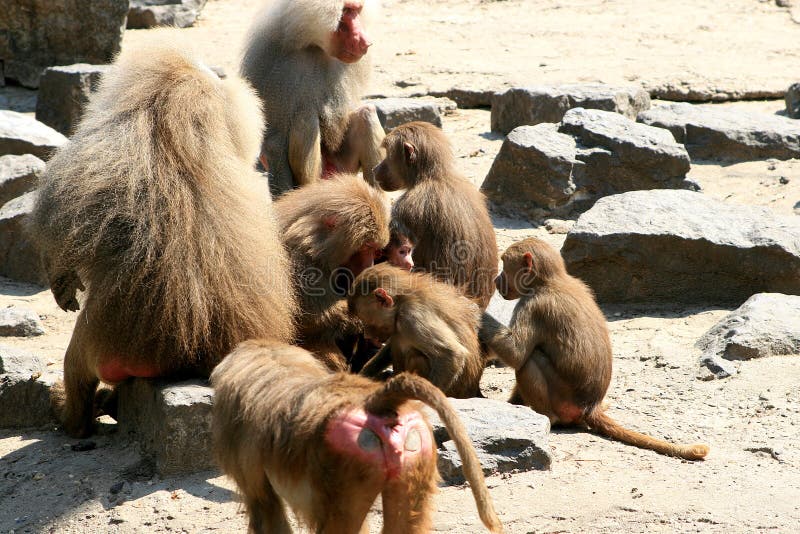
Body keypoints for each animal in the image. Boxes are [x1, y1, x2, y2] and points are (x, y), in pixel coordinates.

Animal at [27, 44, 297, 438]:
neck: (169, 128)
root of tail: (189, 348)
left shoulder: (84, 157)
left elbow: (57, 230)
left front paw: (62, 285)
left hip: (101, 342)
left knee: (76, 367)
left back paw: (72, 415)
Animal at [241, 0, 385, 196]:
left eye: (357, 10)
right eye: (346, 11)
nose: (366, 42)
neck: (315, 46)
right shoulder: (269, 60)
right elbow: (274, 141)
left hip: (343, 168)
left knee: (366, 113)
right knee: (306, 118)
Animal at [348, 264, 486, 398]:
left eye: (365, 321)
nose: (367, 336)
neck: (402, 301)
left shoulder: (411, 316)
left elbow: (451, 354)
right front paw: (363, 375)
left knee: (414, 354)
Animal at [480, 238, 709, 461]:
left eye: (504, 264)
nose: (496, 281)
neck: (549, 281)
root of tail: (590, 406)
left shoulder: (532, 306)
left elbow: (516, 354)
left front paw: (478, 311)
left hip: (563, 401)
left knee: (531, 360)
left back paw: (548, 418)